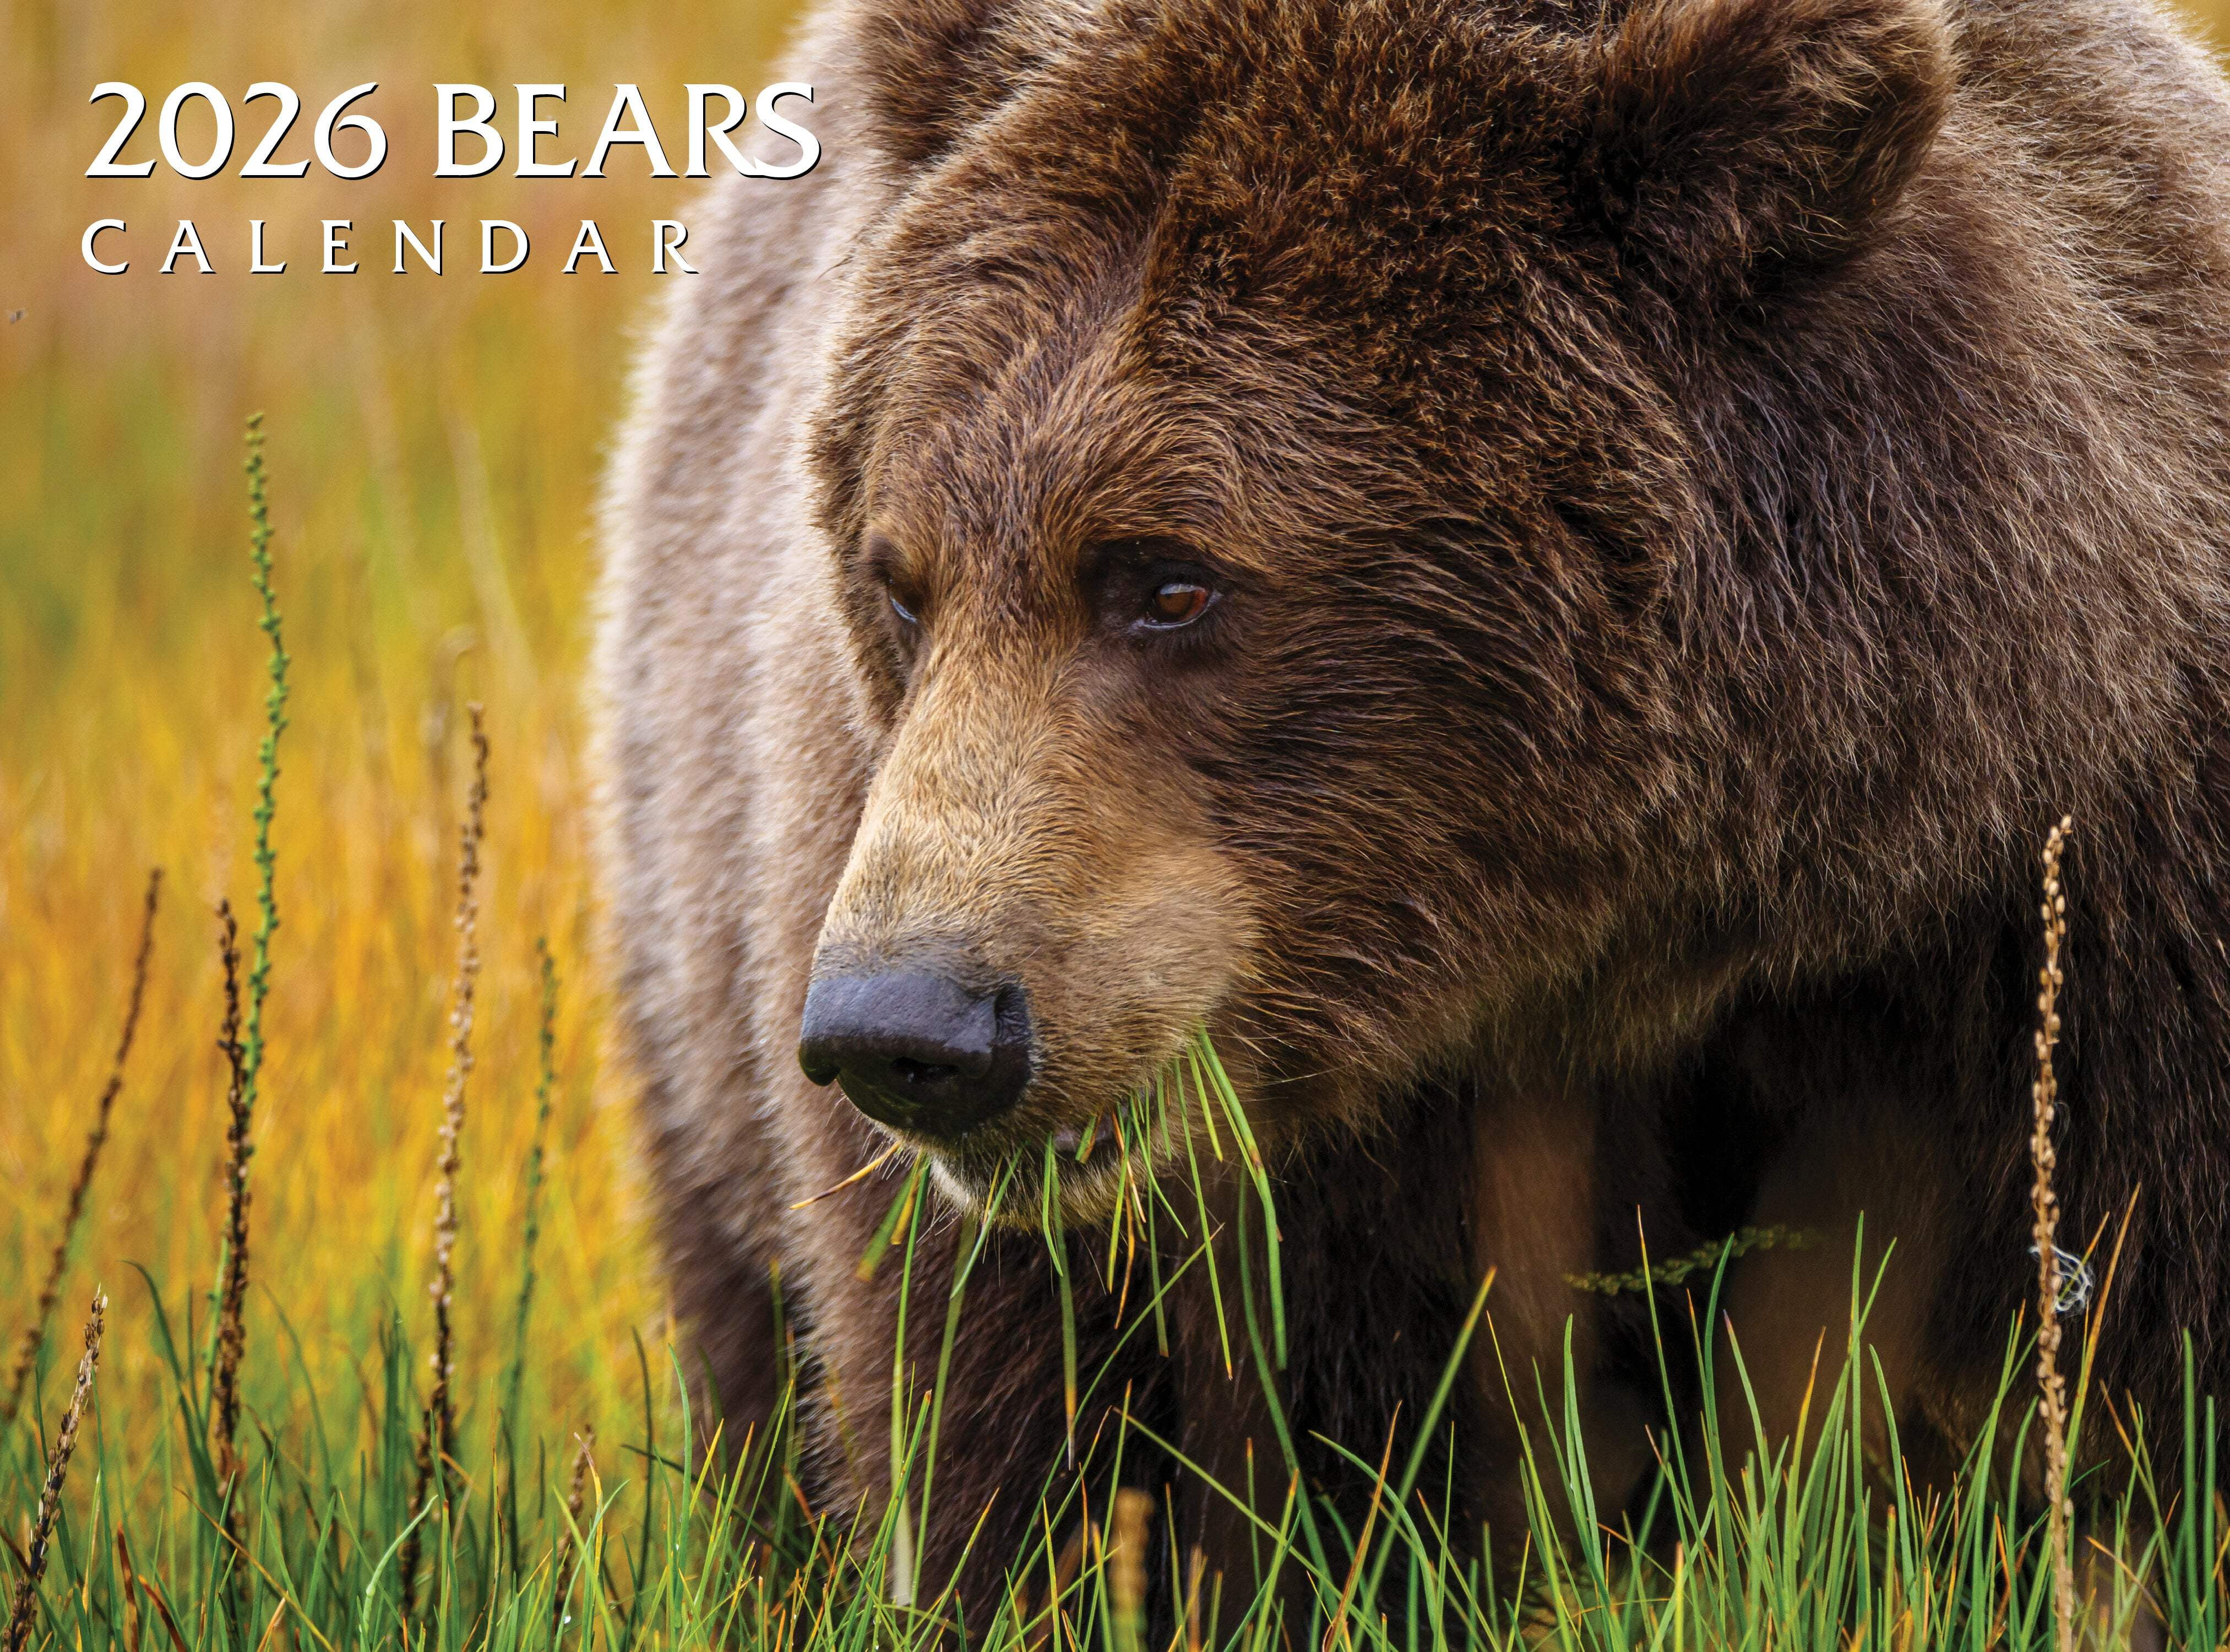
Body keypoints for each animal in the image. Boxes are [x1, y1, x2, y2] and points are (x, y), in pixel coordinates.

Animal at [593, 0, 2230, 1622]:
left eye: (1168, 580)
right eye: (900, 577)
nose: (912, 1028)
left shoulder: (2080, 929)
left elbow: (2138, 1406)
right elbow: (1152, 1473)